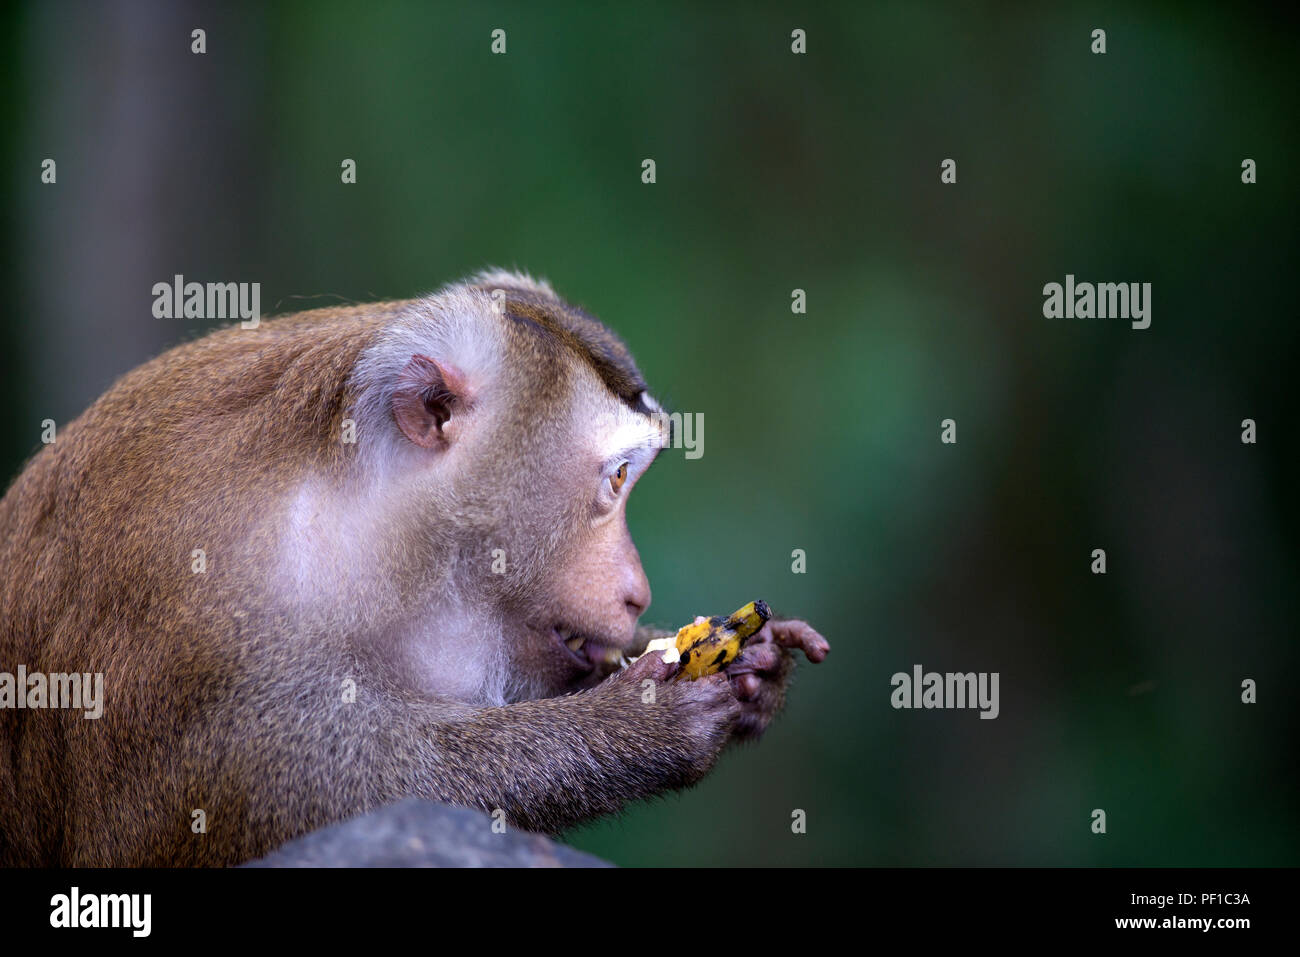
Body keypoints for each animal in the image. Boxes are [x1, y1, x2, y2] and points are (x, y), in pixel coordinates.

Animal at [0, 269, 829, 866]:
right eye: (618, 478)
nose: (637, 589)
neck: (340, 530)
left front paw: (752, 659)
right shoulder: (202, 615)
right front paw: (638, 725)